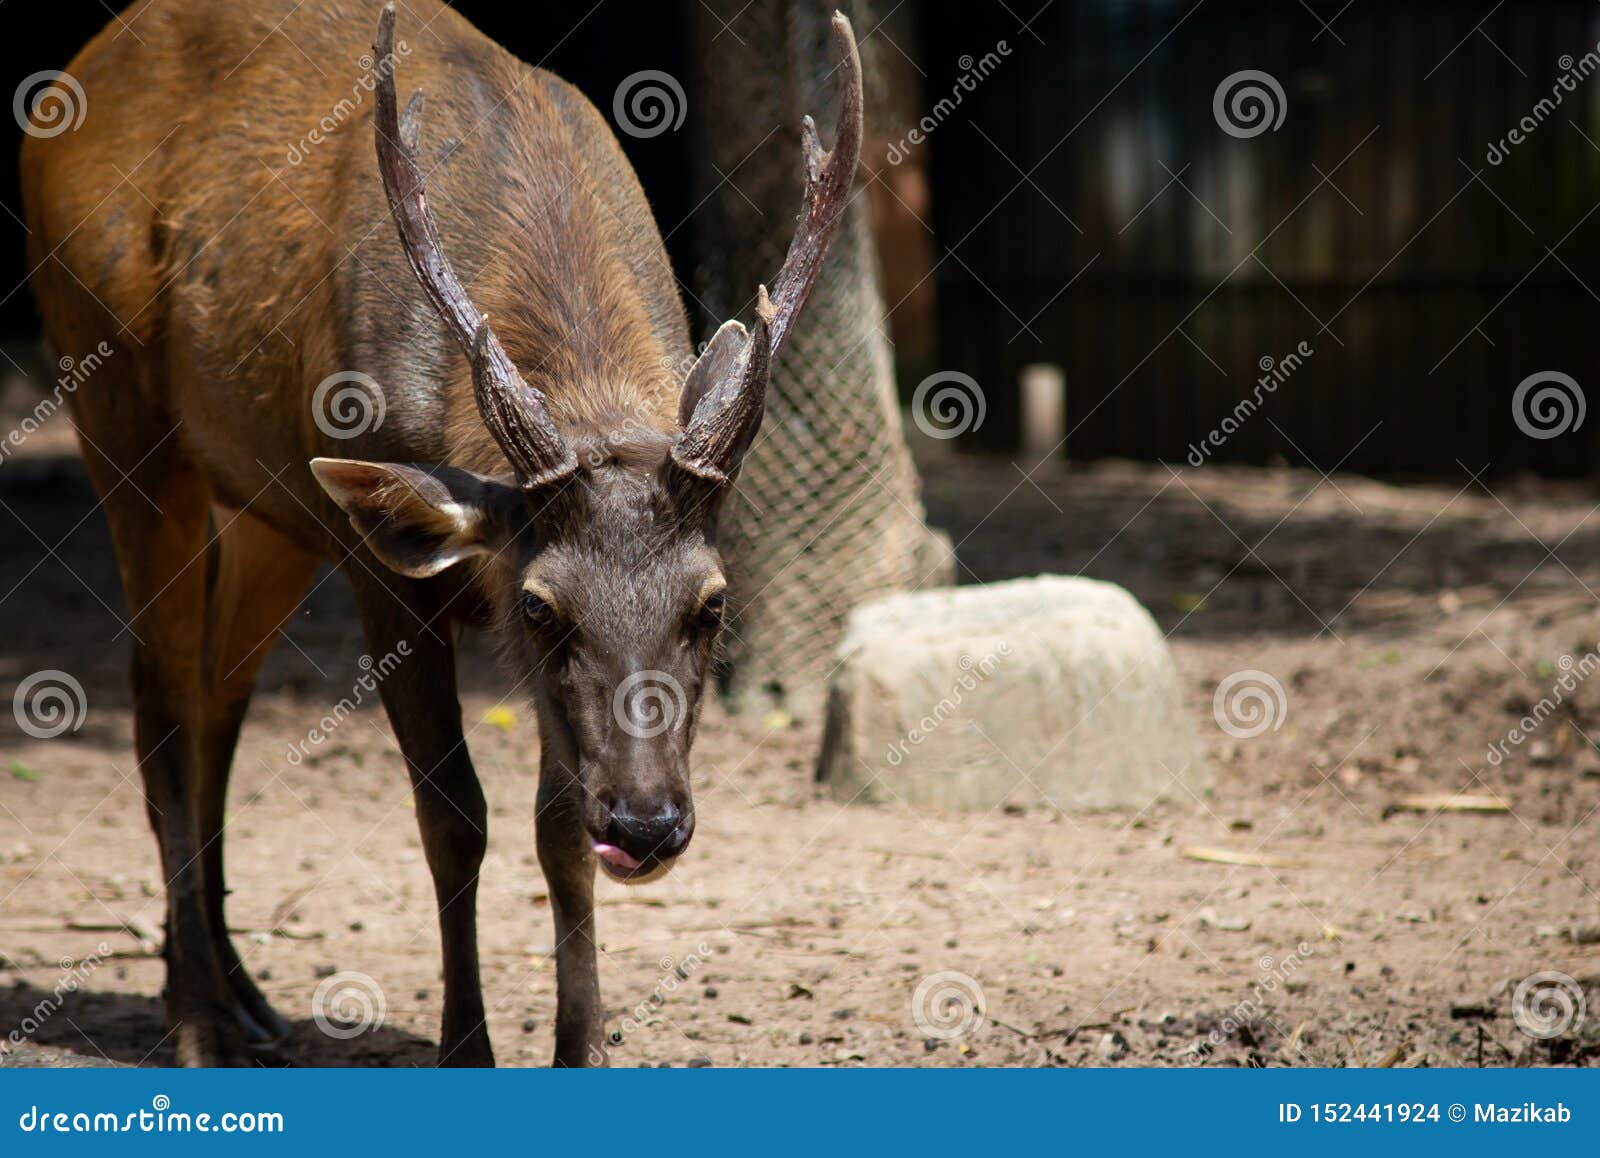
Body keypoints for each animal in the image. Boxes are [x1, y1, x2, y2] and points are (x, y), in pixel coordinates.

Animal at [20, 0, 860, 1066]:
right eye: (541, 606)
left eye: (713, 602)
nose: (646, 823)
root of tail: (72, 79)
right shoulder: (385, 569)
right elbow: (452, 814)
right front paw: (469, 1046)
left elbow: (555, 829)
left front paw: (581, 1049)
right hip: (121, 413)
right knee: (159, 702)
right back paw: (198, 1018)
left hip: (272, 508)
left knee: (217, 697)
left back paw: (245, 996)